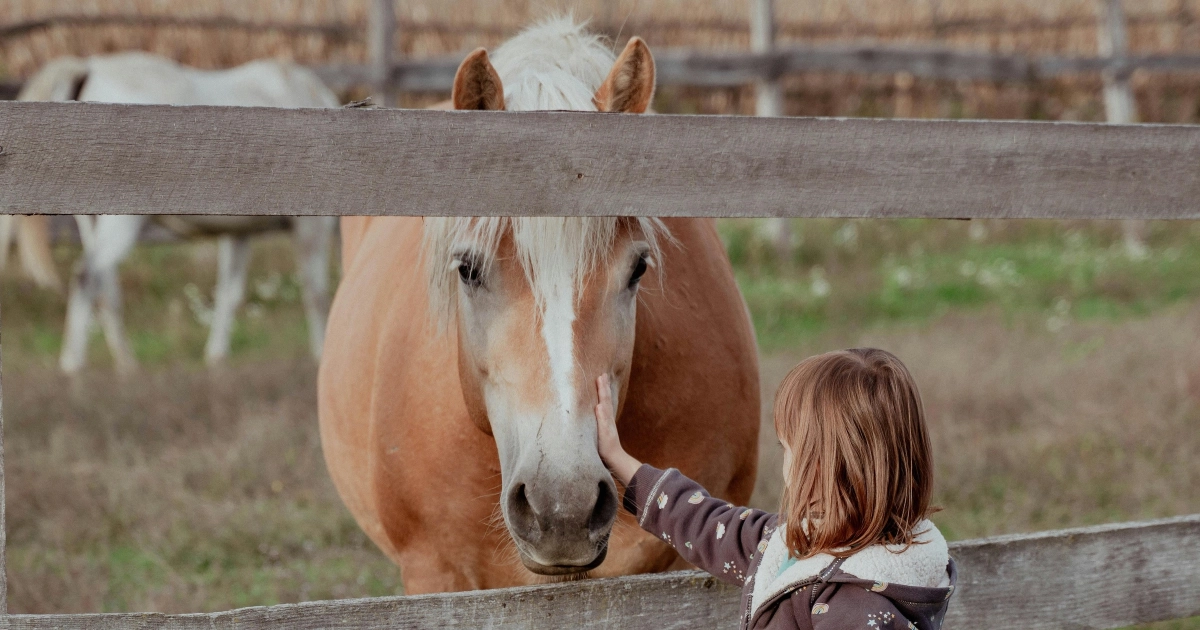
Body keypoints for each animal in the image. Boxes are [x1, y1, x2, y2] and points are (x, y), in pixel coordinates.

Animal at [16, 52, 339, 373]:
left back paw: (126, 362)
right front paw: (321, 353)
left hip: (92, 222)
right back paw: (74, 365)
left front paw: (217, 356)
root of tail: (91, 67)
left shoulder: (238, 232)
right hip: (121, 223)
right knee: (87, 277)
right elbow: (316, 293)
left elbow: (229, 294)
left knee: (105, 287)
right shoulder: (312, 228)